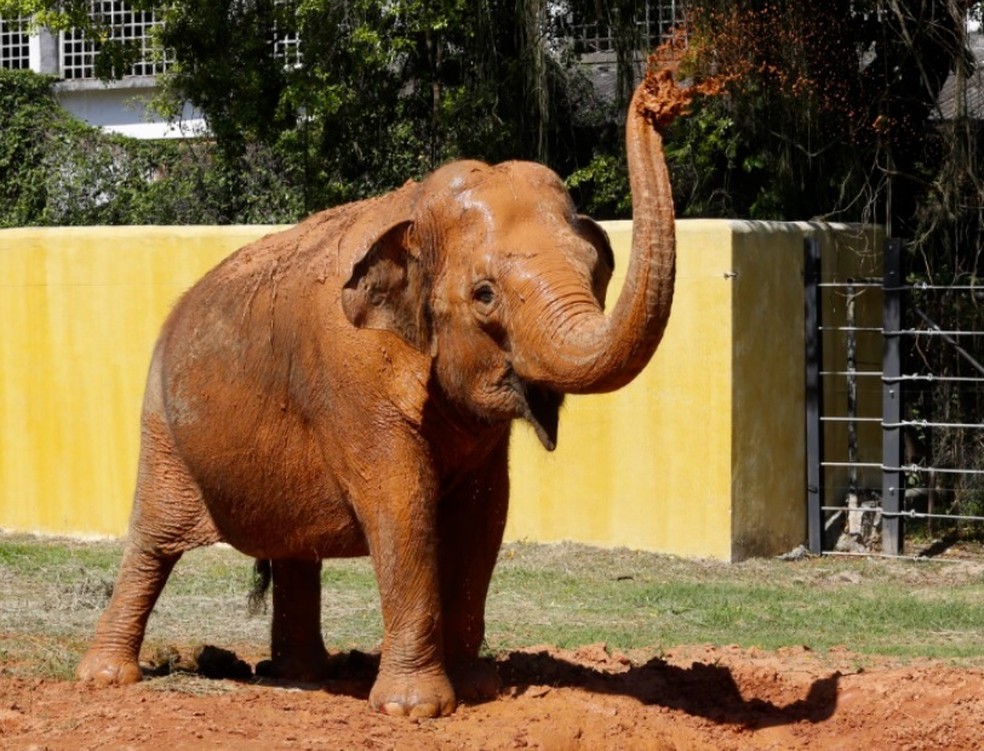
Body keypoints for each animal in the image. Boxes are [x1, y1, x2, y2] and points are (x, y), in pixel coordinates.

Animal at [76, 68, 682, 718]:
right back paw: (107, 678)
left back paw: (300, 677)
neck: (412, 215)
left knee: (293, 552)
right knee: (152, 542)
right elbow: (402, 505)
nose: (660, 94)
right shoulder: (352, 376)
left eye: (594, 271)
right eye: (485, 294)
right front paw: (414, 710)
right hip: (162, 425)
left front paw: (479, 690)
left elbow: (484, 515)